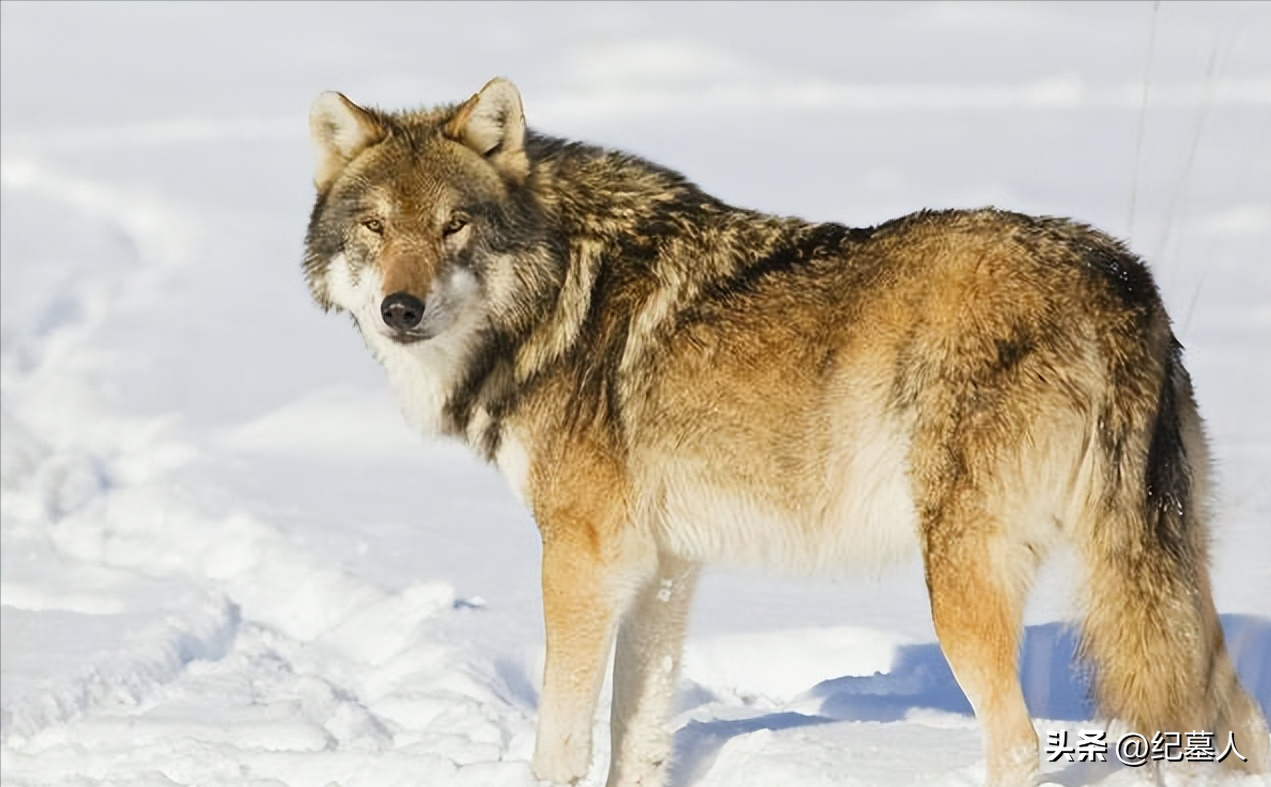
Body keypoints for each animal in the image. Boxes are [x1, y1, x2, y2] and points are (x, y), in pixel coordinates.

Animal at [302, 78, 1269, 786]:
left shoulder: (580, 557)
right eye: (375, 226)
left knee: (1021, 743)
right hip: (1165, 577)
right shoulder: (663, 569)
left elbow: (558, 745)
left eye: (453, 225)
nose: (400, 308)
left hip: (966, 584)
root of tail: (1118, 277)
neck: (558, 296)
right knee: (1239, 723)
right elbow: (635, 737)